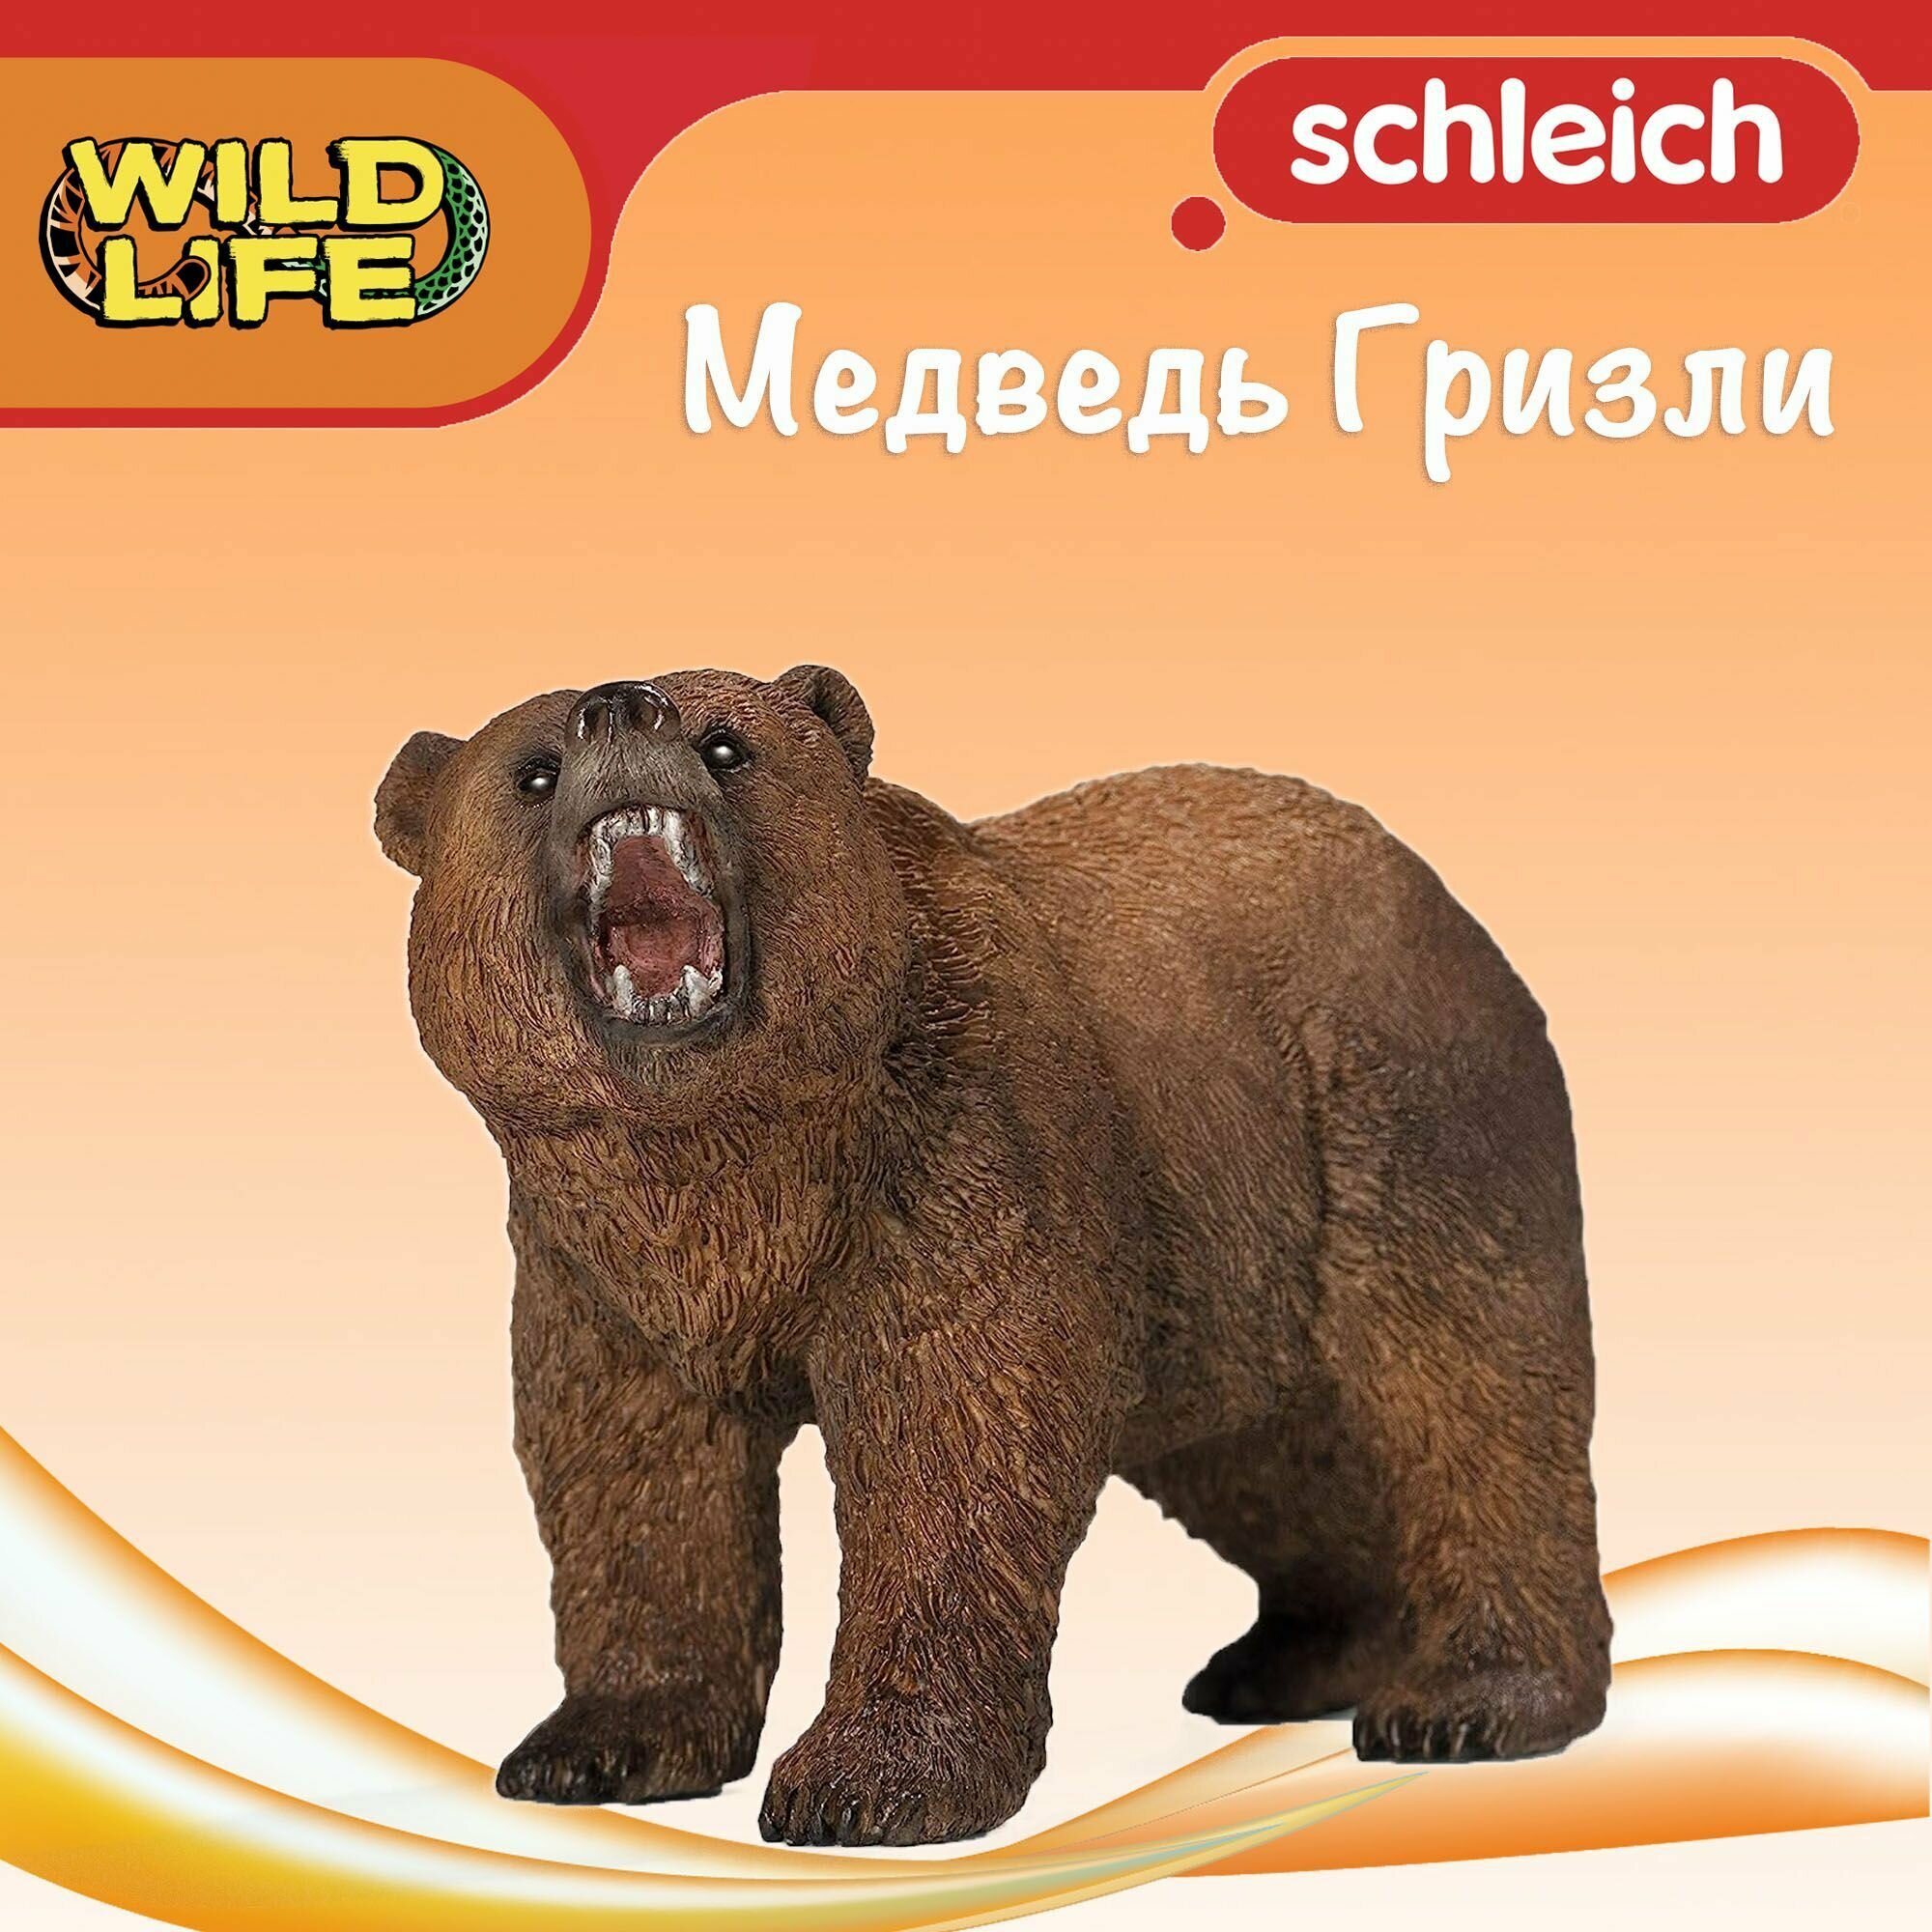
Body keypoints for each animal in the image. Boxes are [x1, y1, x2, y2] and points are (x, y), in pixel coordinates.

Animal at [375, 665, 1612, 1848]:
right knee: (1271, 1452)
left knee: (1464, 1386)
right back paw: (1294, 1654)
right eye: (531, 767)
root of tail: (1437, 892)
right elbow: (635, 1470)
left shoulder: (954, 1143)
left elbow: (950, 1442)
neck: (735, 1158)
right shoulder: (600, 1268)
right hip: (1222, 1269)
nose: (621, 704)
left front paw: (864, 1783)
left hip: (1390, 1113)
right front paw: (593, 1742)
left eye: (728, 742)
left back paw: (1467, 1698)